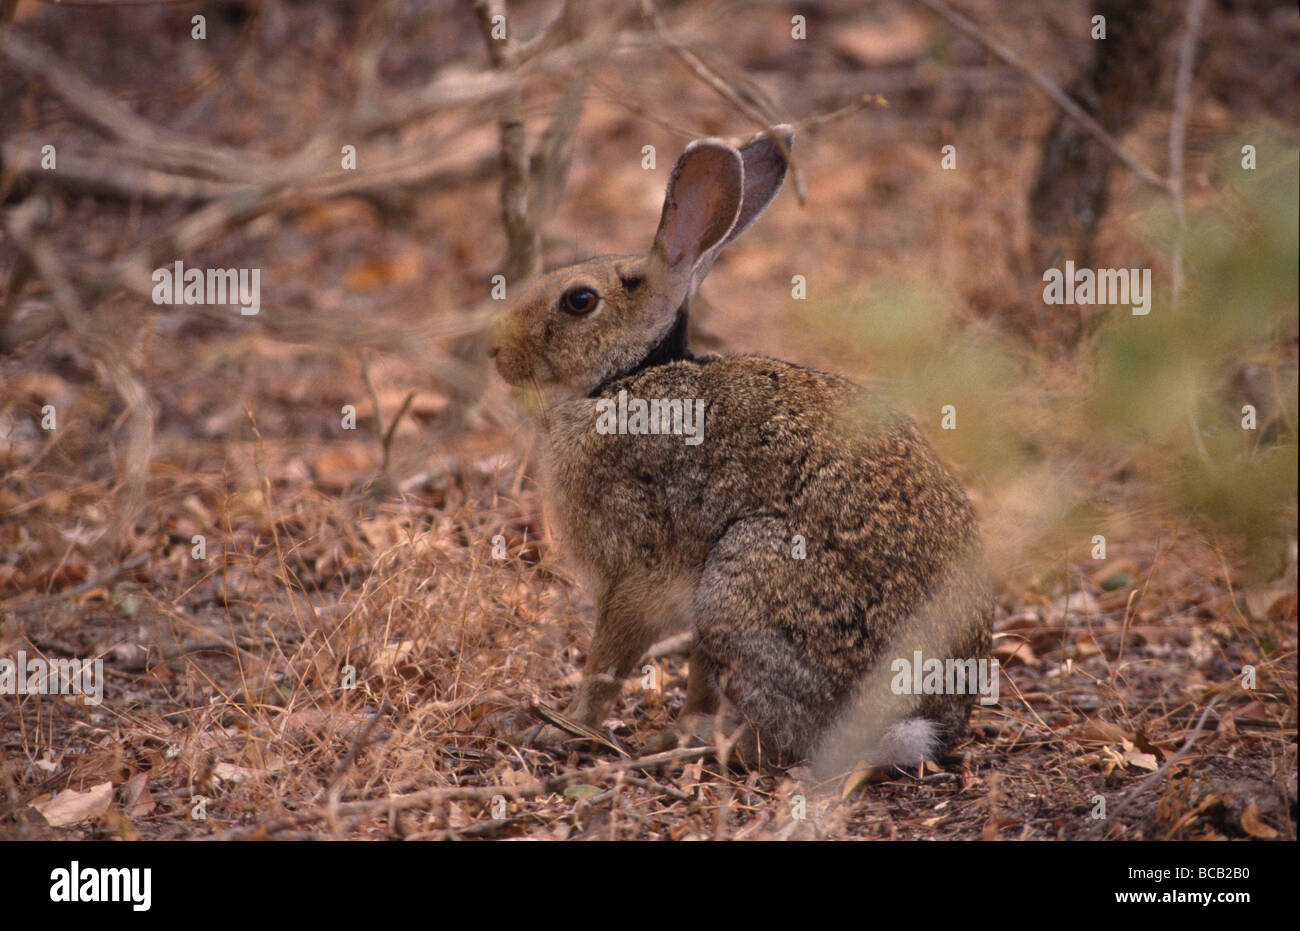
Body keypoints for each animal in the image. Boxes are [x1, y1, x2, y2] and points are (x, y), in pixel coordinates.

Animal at [491, 125, 992, 772]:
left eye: (579, 301)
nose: (497, 352)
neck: (630, 375)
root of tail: (922, 723)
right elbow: (698, 680)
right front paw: (675, 725)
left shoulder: (634, 577)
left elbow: (607, 663)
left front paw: (564, 731)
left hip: (749, 576)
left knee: (787, 740)